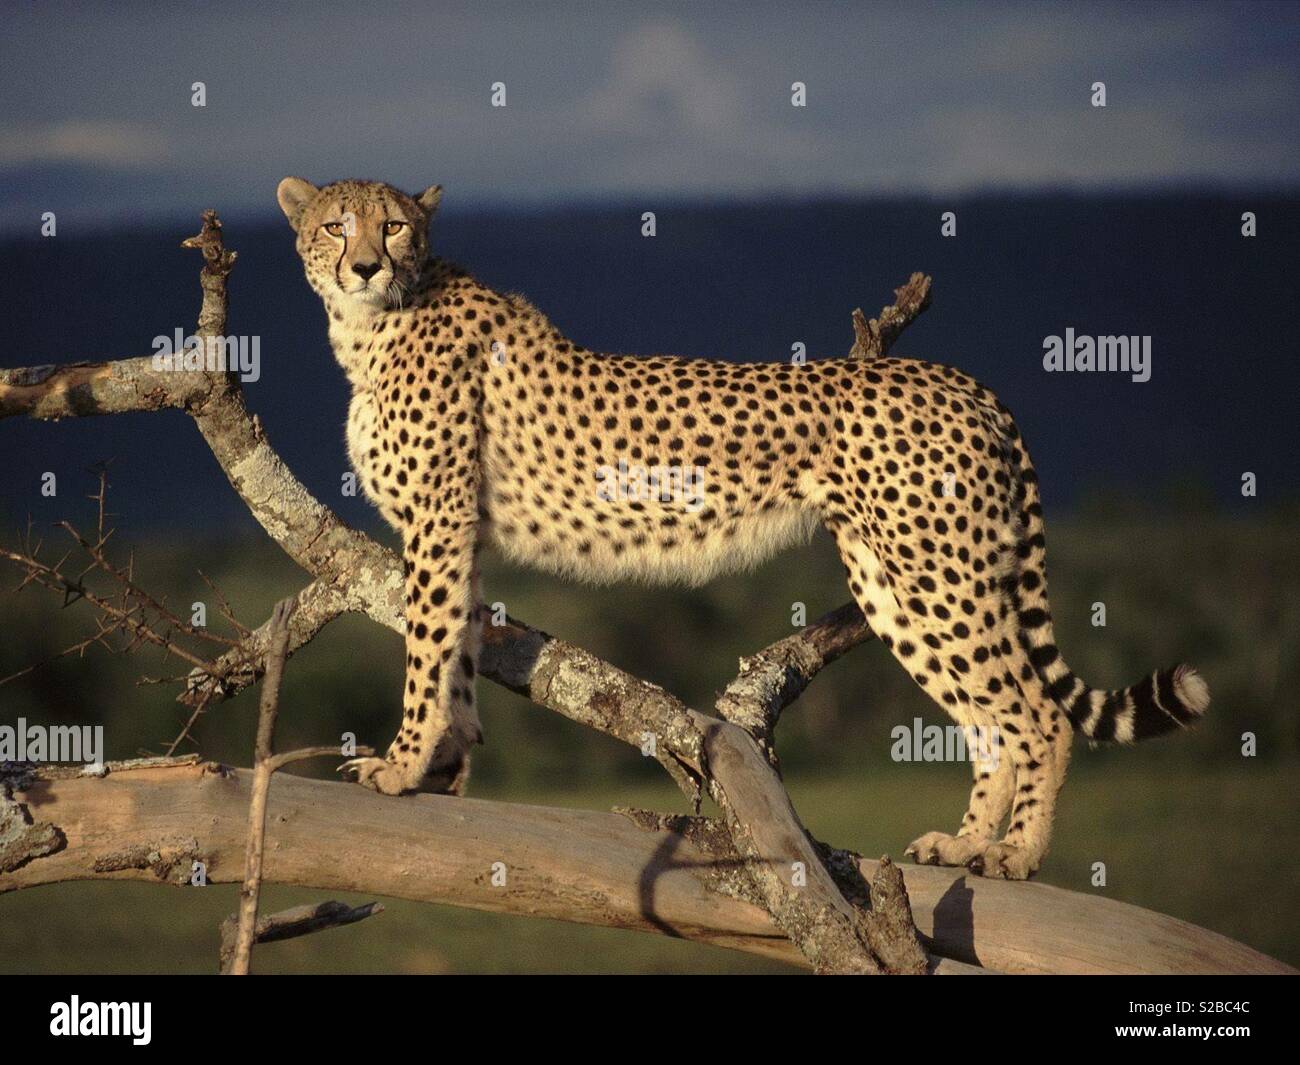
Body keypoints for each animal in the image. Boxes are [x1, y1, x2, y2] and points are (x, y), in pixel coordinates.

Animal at [277, 176, 1209, 879]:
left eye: (394, 224)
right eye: (335, 224)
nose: (364, 265)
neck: (376, 322)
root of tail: (959, 378)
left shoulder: (437, 522)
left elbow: (427, 647)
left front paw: (401, 764)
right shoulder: (460, 530)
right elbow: (458, 648)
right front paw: (442, 766)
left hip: (938, 573)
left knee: (1036, 715)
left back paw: (1015, 855)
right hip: (895, 584)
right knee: (989, 719)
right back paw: (966, 842)